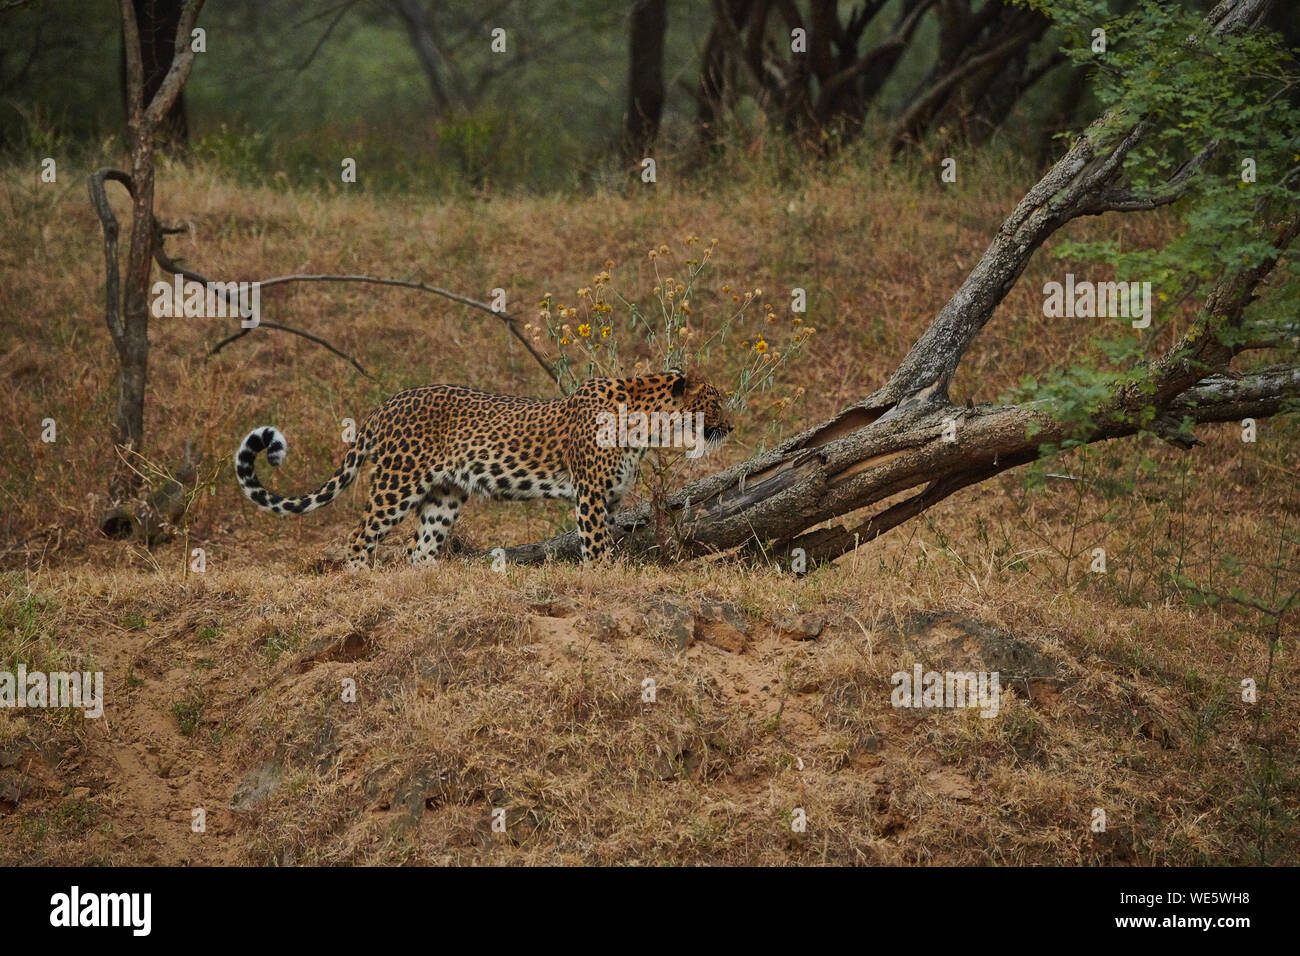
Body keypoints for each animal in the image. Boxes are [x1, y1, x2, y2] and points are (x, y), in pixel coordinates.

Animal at [234, 369, 733, 569]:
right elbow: (597, 547)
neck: (648, 425)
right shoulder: (591, 495)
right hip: (397, 483)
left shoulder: (608, 498)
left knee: (420, 548)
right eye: (715, 401)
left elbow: (604, 541)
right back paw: (361, 580)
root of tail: (386, 404)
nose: (731, 425)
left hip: (444, 495)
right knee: (360, 537)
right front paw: (607, 578)